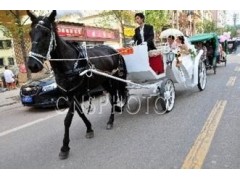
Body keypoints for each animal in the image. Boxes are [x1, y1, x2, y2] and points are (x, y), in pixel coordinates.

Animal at [26, 10, 127, 159]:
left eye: (46, 33)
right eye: (30, 33)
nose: (32, 65)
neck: (69, 64)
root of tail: (115, 50)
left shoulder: (76, 93)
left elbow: (67, 119)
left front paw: (64, 147)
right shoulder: (70, 95)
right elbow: (79, 113)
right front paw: (89, 128)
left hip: (114, 79)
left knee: (114, 97)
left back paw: (110, 120)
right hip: (104, 81)